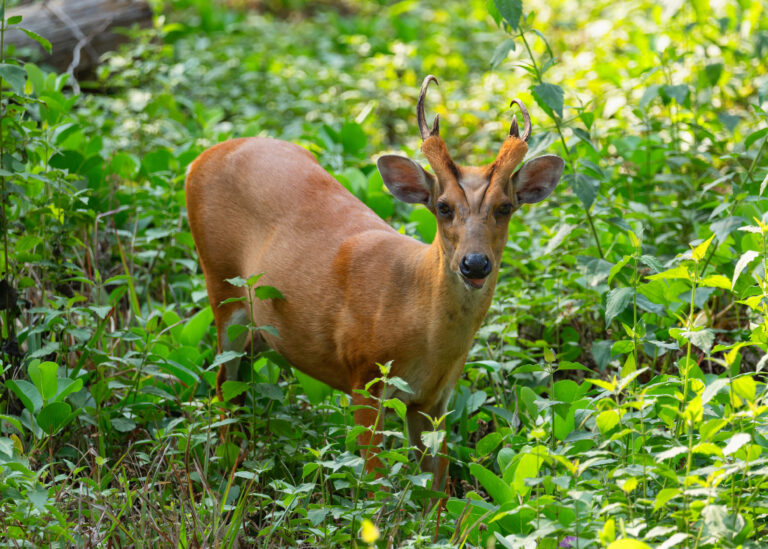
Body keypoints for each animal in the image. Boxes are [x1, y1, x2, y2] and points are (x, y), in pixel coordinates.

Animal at [185, 75, 564, 492]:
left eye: (505, 207)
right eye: (443, 206)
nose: (475, 263)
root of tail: (201, 157)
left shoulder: (435, 398)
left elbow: (438, 488)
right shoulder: (363, 372)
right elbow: (375, 484)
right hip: (221, 284)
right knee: (223, 383)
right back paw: (226, 470)